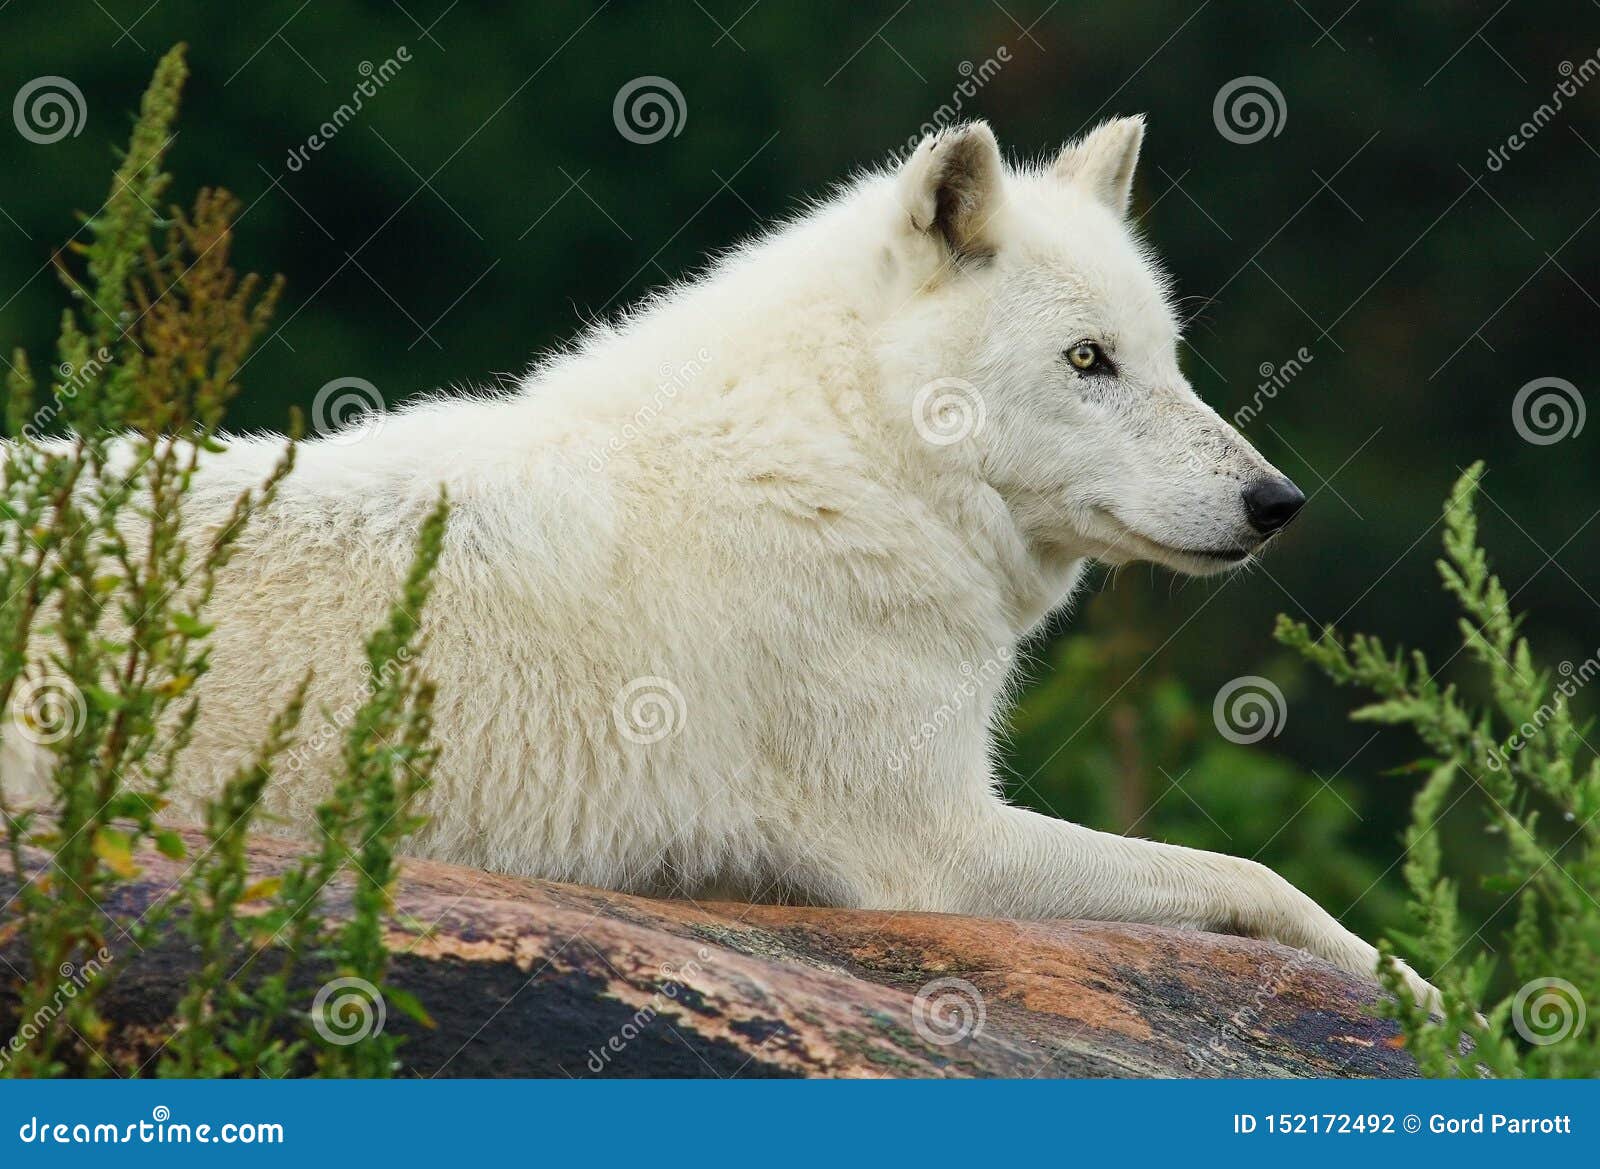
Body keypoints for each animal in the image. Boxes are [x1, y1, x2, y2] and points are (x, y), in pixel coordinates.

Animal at [4, 118, 1434, 1005]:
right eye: (1090, 361)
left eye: (1169, 359)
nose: (1275, 501)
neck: (850, 462)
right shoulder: (940, 853)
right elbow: (1257, 879)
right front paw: (1425, 994)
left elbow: (1248, 878)